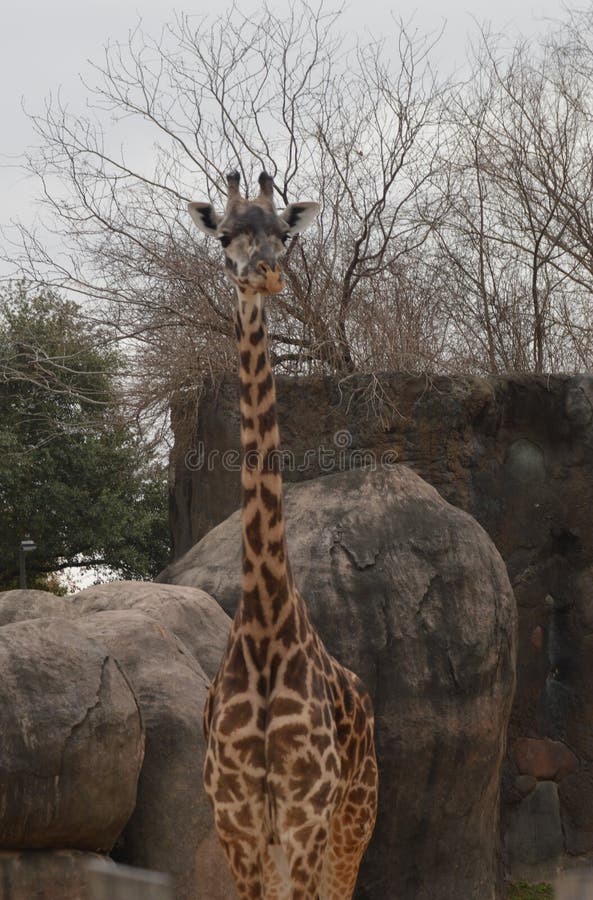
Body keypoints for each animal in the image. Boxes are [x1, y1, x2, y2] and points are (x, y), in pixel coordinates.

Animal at [187, 171, 378, 900]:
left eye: (284, 235)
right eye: (224, 235)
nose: (265, 274)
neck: (266, 620)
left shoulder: (303, 813)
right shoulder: (237, 820)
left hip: (353, 820)